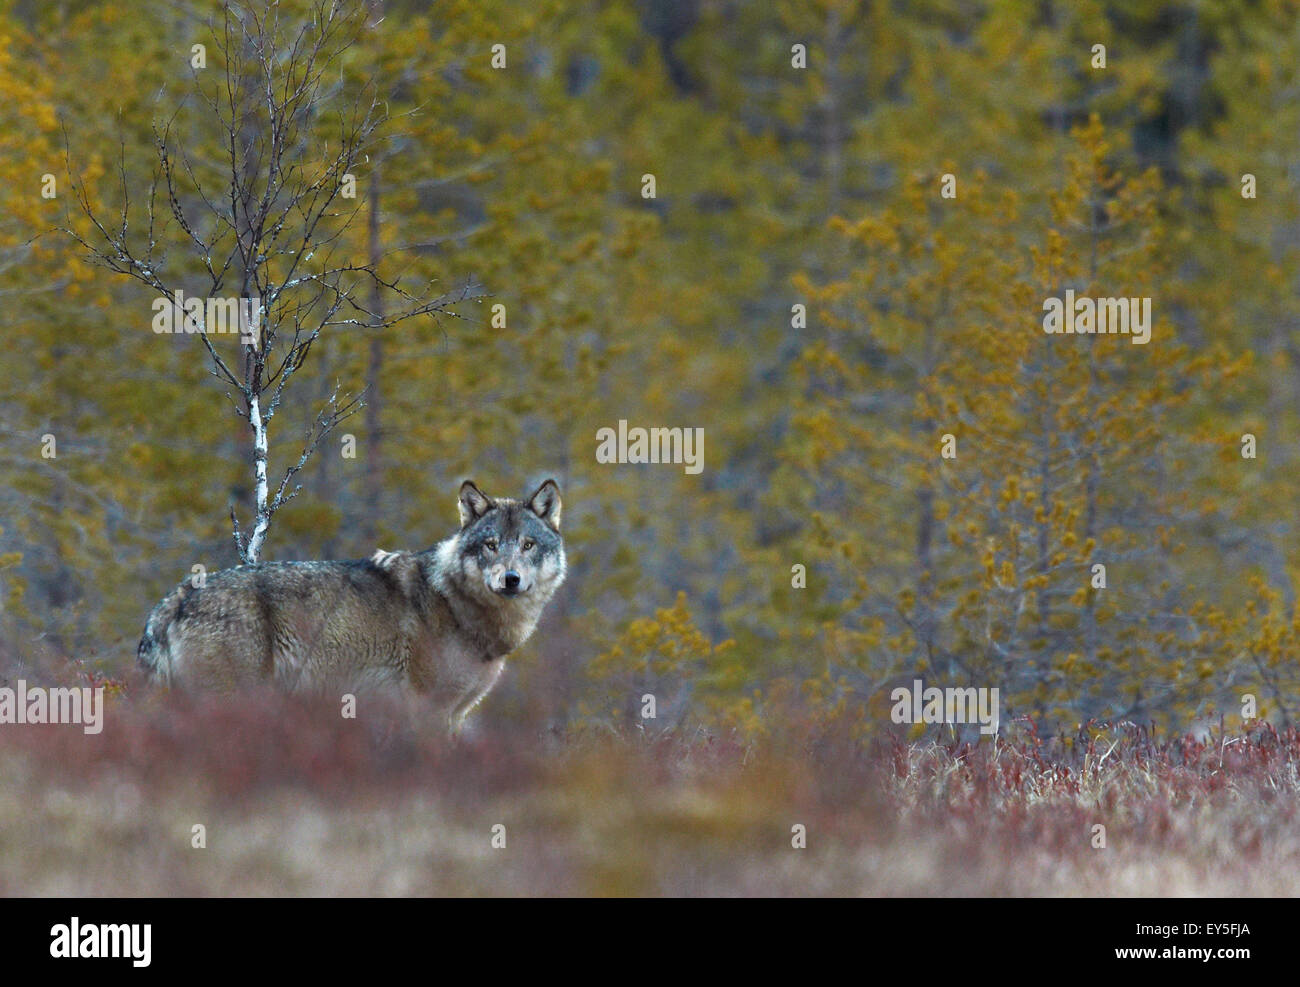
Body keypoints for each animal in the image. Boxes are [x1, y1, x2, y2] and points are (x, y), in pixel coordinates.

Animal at [137, 479, 566, 731]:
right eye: (491, 545)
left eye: (528, 545)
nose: (510, 579)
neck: (458, 605)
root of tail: (179, 595)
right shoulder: (425, 709)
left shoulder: (455, 714)